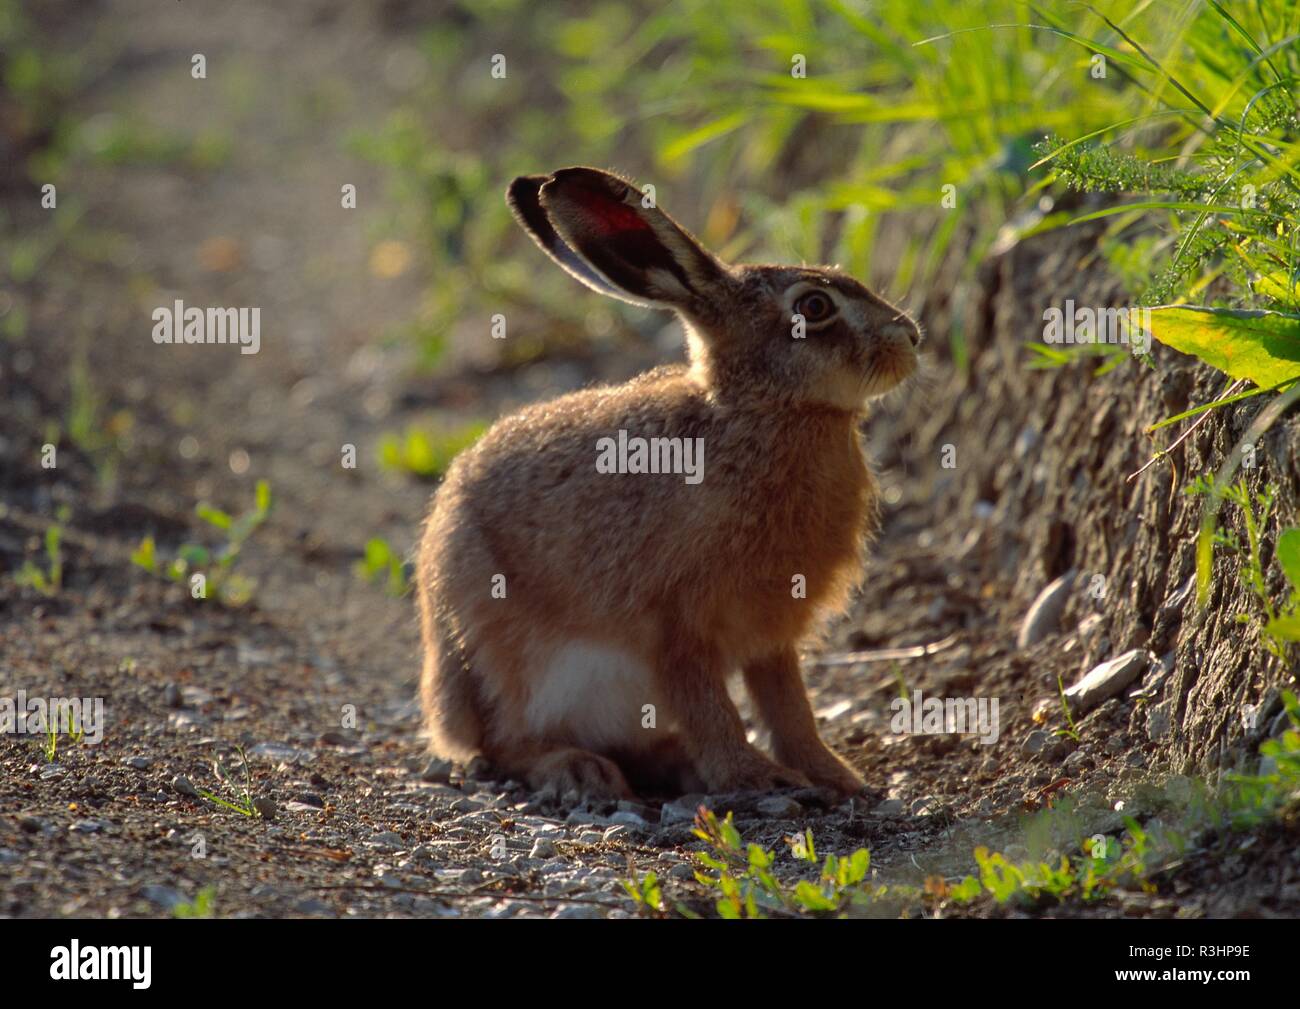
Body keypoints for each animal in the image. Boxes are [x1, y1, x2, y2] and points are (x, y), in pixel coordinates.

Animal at [417, 166, 920, 801]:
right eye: (814, 305)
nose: (911, 337)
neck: (763, 409)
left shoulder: (772, 636)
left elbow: (790, 707)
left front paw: (837, 778)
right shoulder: (675, 623)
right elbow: (711, 705)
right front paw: (758, 778)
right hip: (505, 656)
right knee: (504, 740)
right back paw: (580, 769)